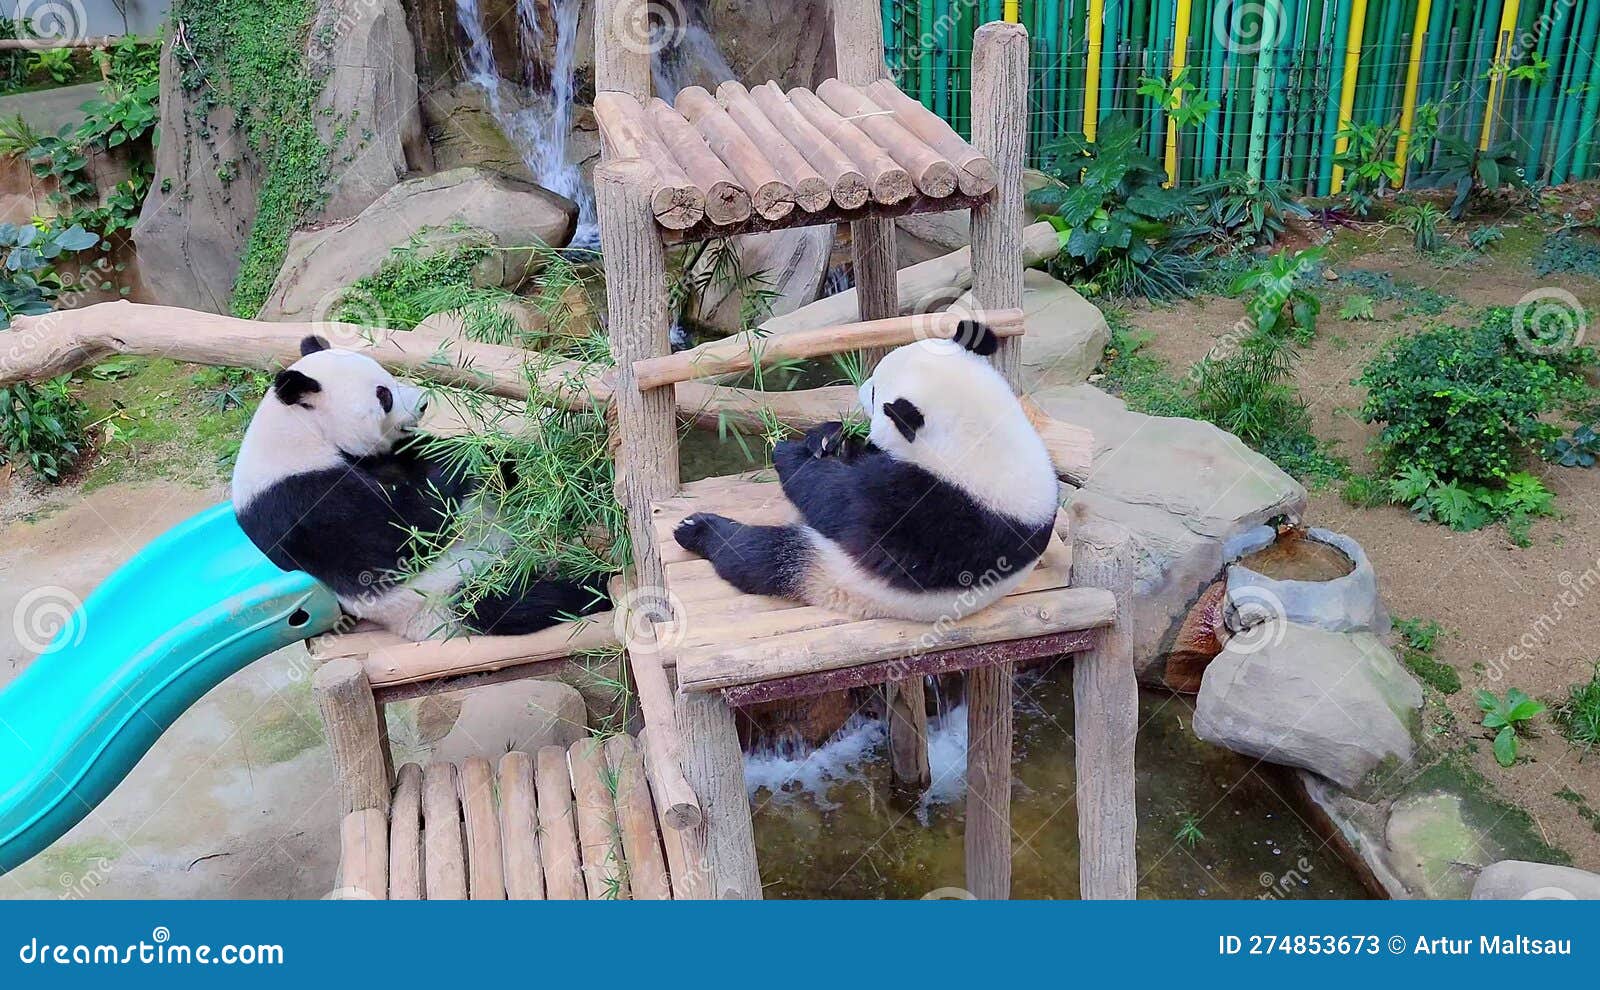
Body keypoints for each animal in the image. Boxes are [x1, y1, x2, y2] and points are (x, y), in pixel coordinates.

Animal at [232, 335, 608, 641]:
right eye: (383, 395)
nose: (423, 403)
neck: (300, 431)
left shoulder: (387, 454)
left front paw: (492, 455)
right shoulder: (300, 500)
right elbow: (403, 537)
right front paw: (460, 465)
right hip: (446, 593)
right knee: (518, 602)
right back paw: (597, 584)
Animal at [674, 320, 1059, 622]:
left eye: (874, 392)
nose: (859, 388)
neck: (982, 436)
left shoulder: (943, 517)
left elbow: (846, 506)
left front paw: (790, 454)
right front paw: (828, 439)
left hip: (831, 571)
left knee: (759, 556)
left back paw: (698, 529)